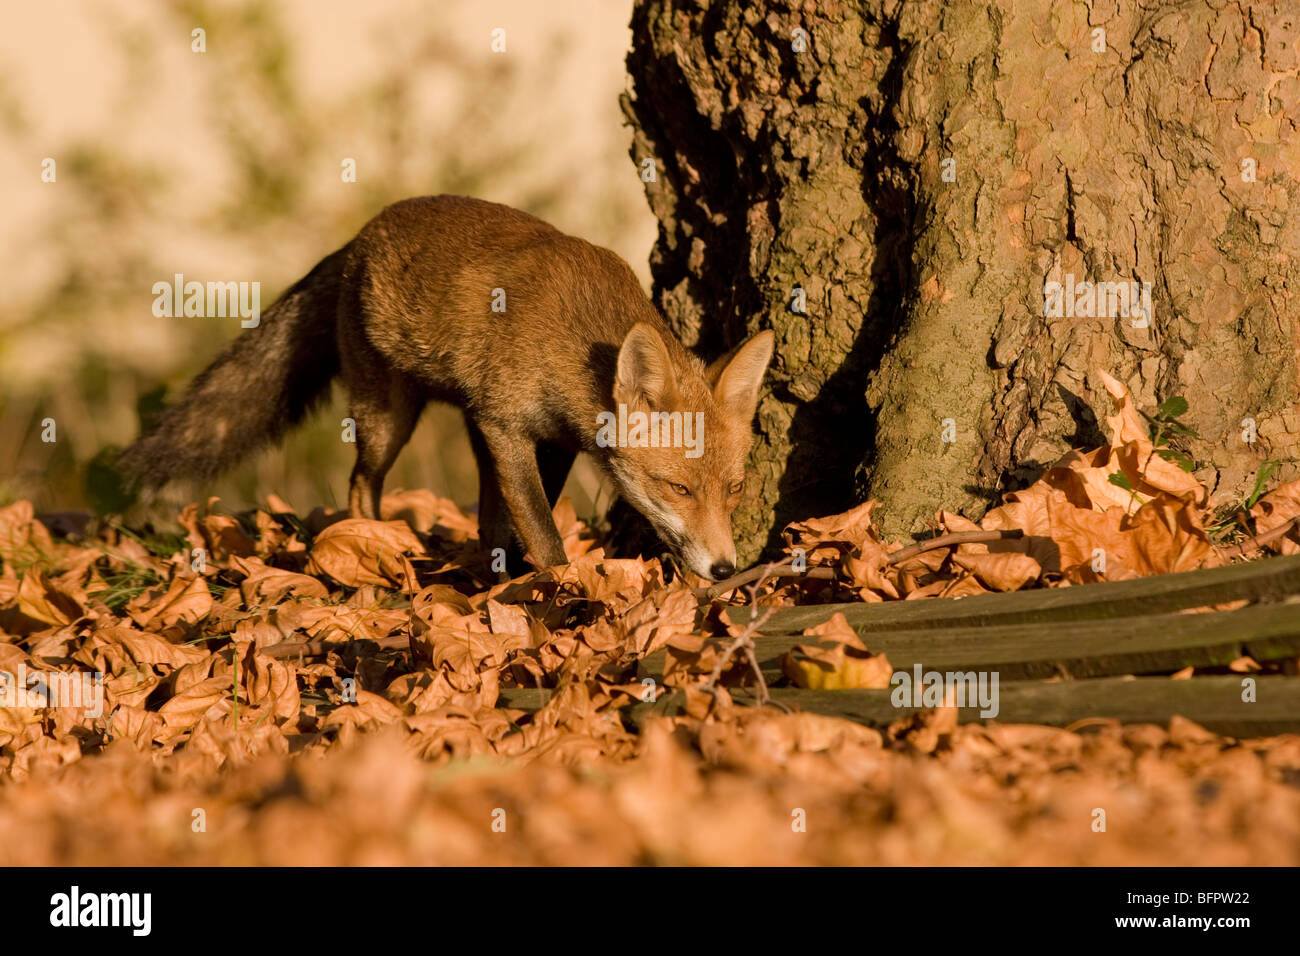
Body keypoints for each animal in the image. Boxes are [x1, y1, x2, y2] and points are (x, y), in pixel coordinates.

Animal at [118, 195, 774, 581]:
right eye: (677, 488)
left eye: (736, 488)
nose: (724, 569)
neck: (572, 341)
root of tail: (360, 238)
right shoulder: (506, 423)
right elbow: (543, 528)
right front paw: (563, 590)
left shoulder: (551, 439)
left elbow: (524, 515)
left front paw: (521, 577)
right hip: (388, 418)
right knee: (360, 483)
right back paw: (374, 545)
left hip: (460, 423)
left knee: (482, 516)